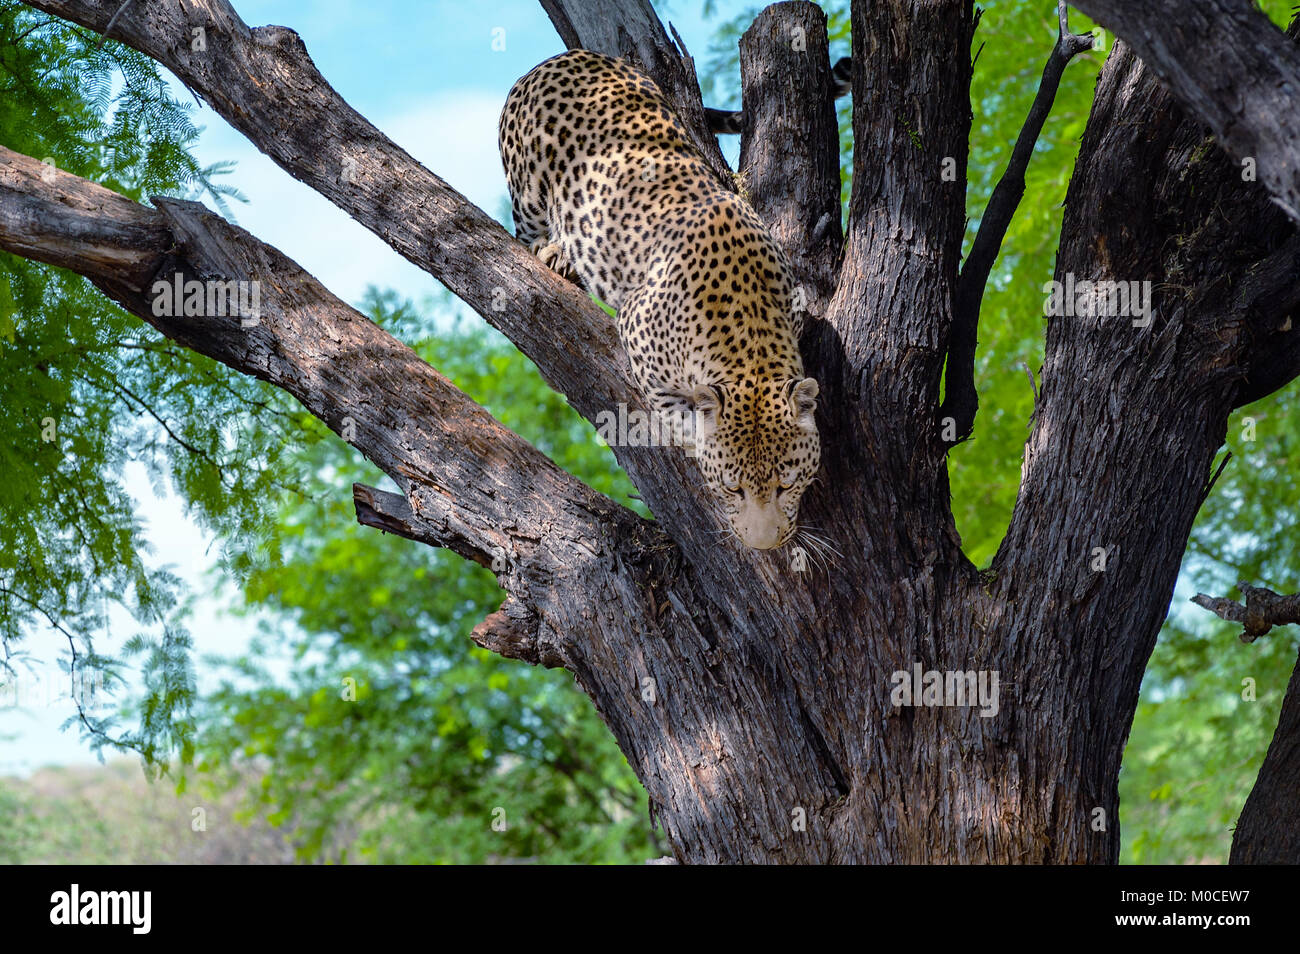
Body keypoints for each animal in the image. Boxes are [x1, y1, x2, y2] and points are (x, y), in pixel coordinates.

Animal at [498, 49, 820, 551]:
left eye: (787, 484)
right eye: (733, 488)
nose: (764, 544)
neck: (747, 327)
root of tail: (560, 57)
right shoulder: (643, 347)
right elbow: (684, 424)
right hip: (528, 190)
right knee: (526, 229)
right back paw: (554, 253)